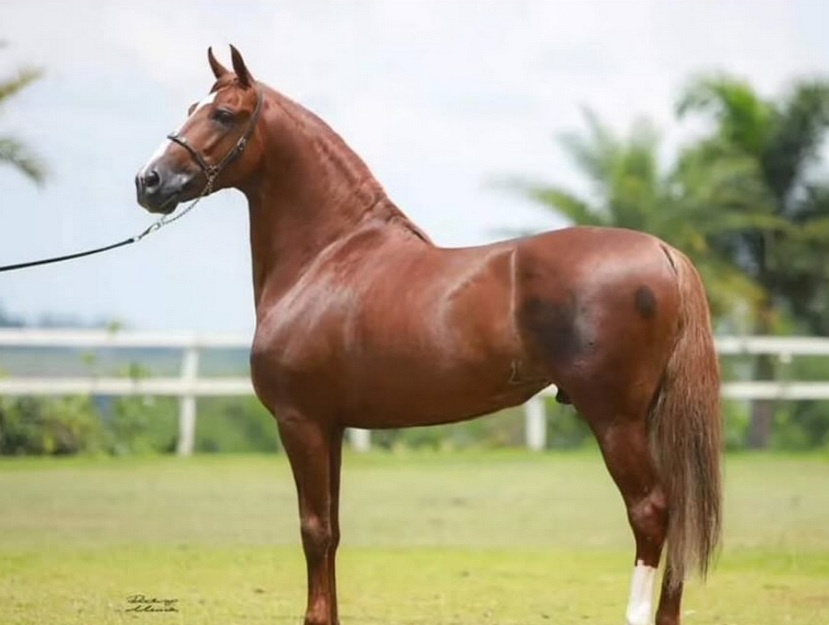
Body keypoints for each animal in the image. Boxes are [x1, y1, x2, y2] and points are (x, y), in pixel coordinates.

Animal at [135, 46, 722, 625]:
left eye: (223, 114)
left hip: (615, 419)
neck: (326, 258)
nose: (149, 181)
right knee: (677, 512)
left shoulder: (301, 422)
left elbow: (314, 530)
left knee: (650, 512)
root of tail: (662, 252)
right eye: (192, 106)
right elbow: (332, 531)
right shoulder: (330, 426)